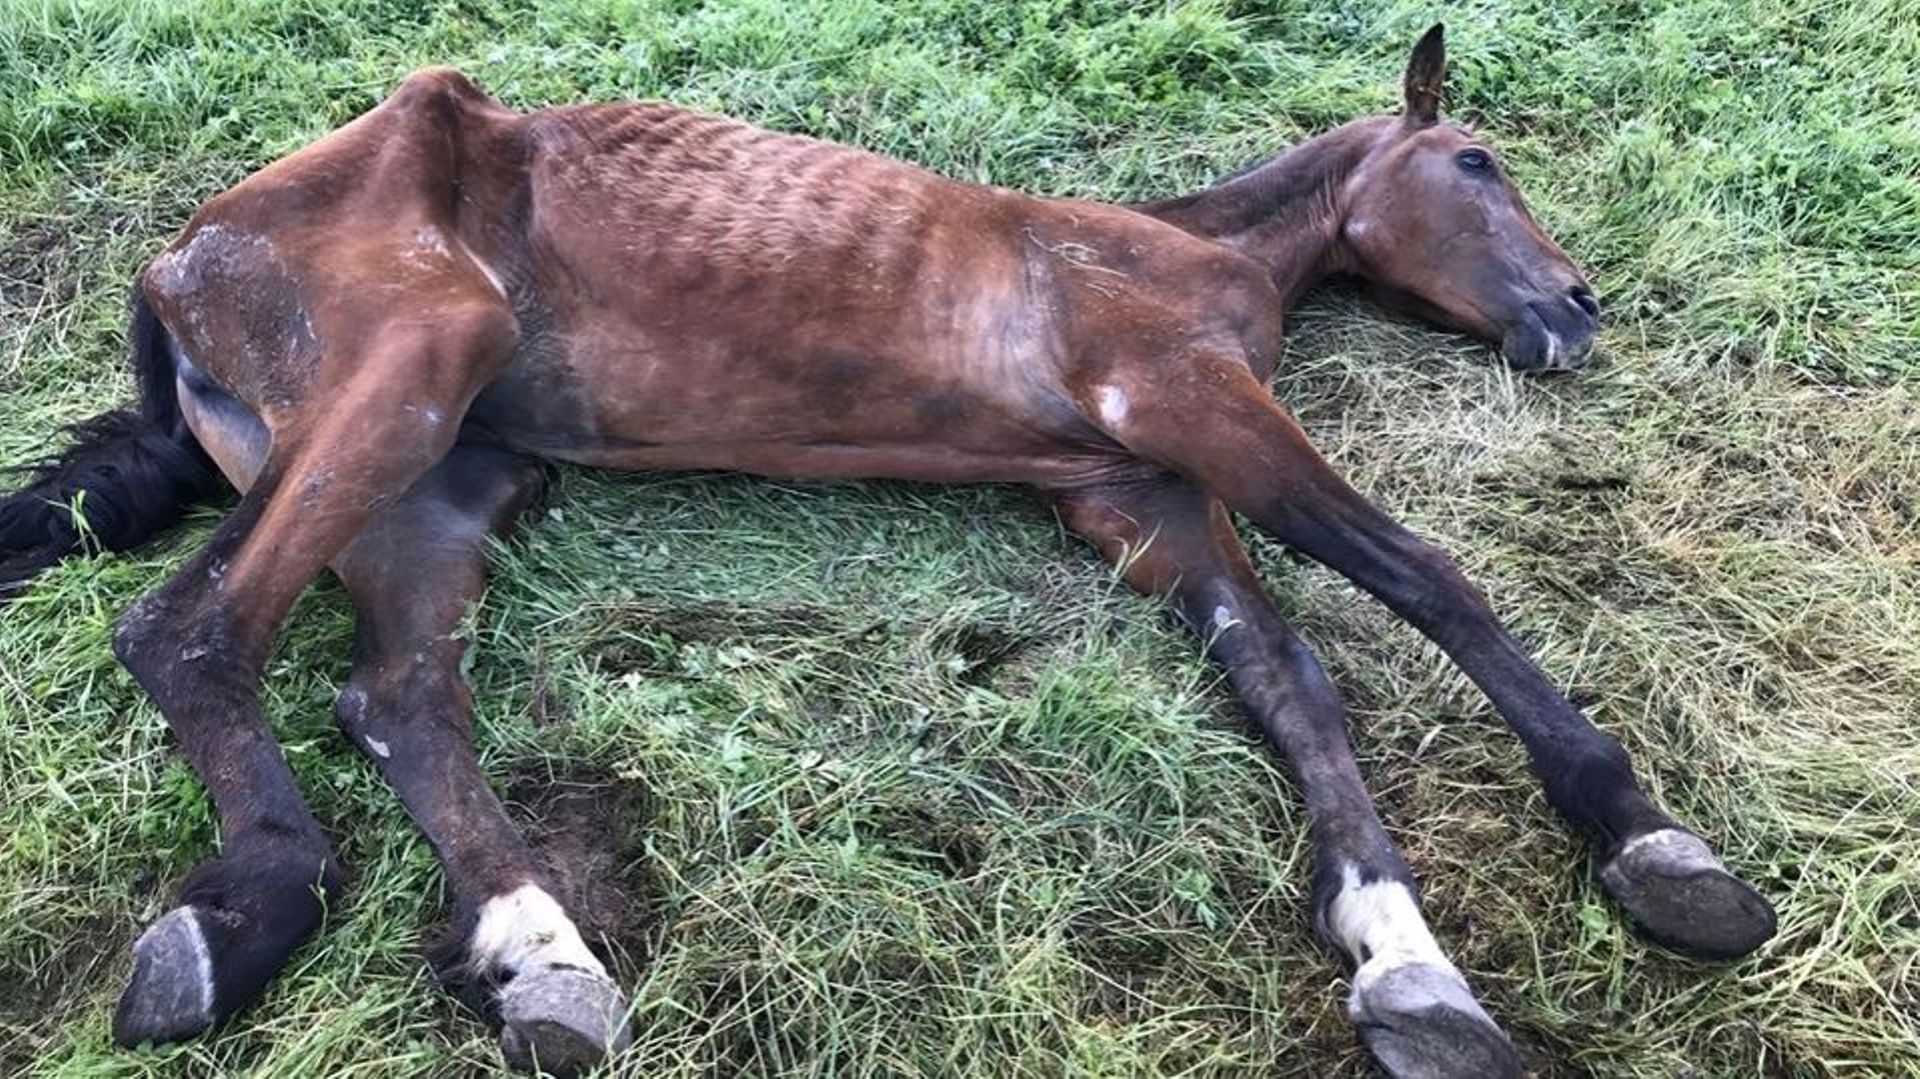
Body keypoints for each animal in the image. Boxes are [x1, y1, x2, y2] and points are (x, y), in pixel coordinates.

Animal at [0, 25, 1774, 1078]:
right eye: (1475, 161)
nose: (1578, 309)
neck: (1182, 251)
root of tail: (179, 266)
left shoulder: (1142, 493)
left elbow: (1291, 680)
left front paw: (1413, 967)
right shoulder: (1188, 399)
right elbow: (1427, 576)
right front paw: (1648, 840)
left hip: (444, 482)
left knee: (398, 698)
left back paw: (543, 957)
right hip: (409, 367)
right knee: (192, 631)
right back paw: (245, 911)